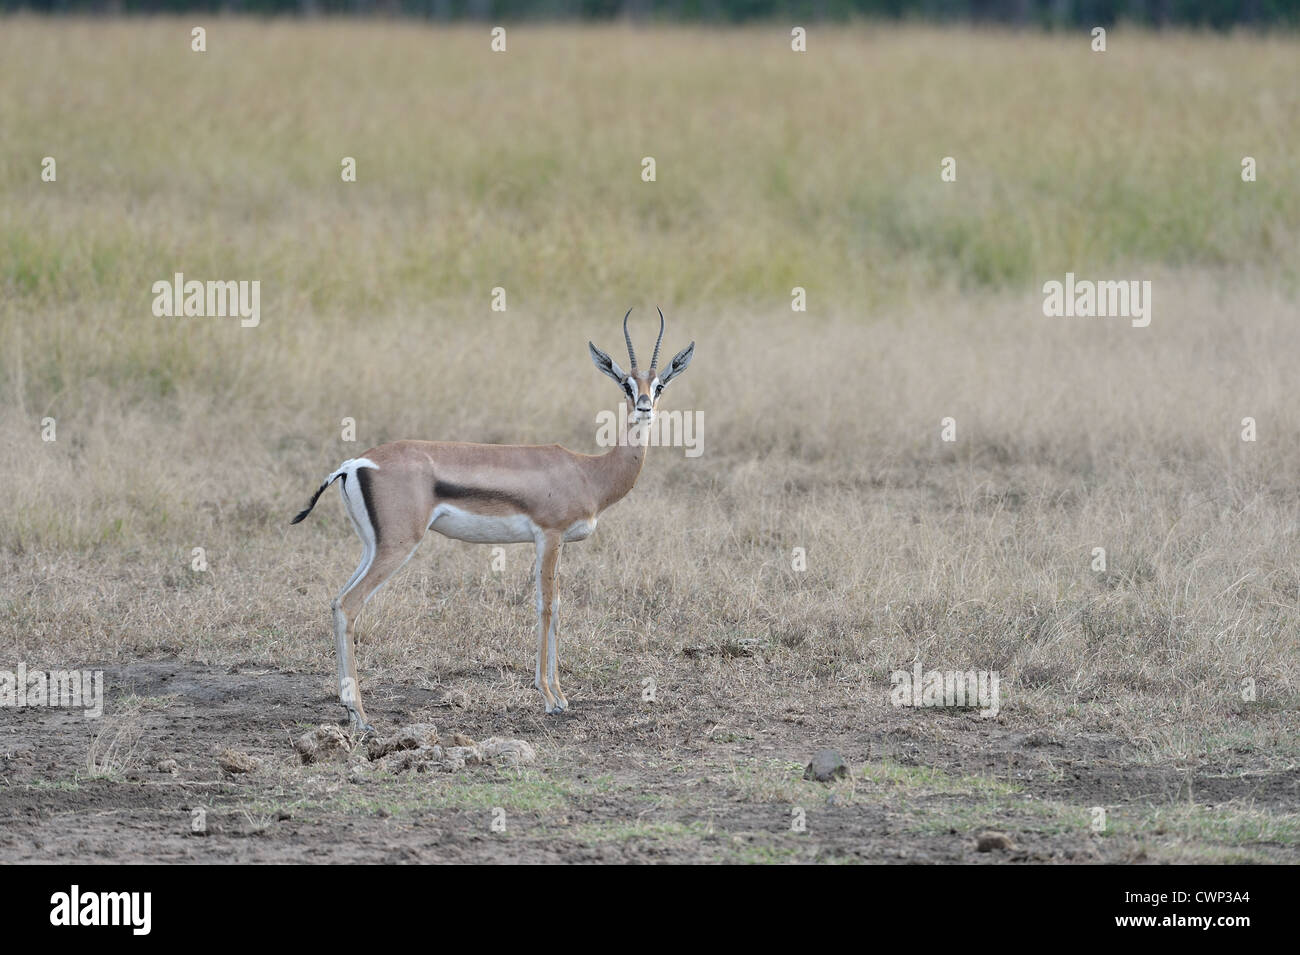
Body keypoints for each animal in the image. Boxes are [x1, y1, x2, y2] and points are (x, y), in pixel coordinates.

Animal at [291, 309, 695, 731]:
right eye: (625, 384)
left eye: (659, 385)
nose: (645, 406)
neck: (589, 471)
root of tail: (354, 463)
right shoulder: (548, 537)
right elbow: (546, 606)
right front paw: (549, 698)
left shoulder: (557, 543)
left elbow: (557, 605)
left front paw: (561, 696)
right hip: (398, 547)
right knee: (349, 604)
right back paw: (361, 716)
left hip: (373, 547)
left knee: (336, 602)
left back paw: (348, 708)